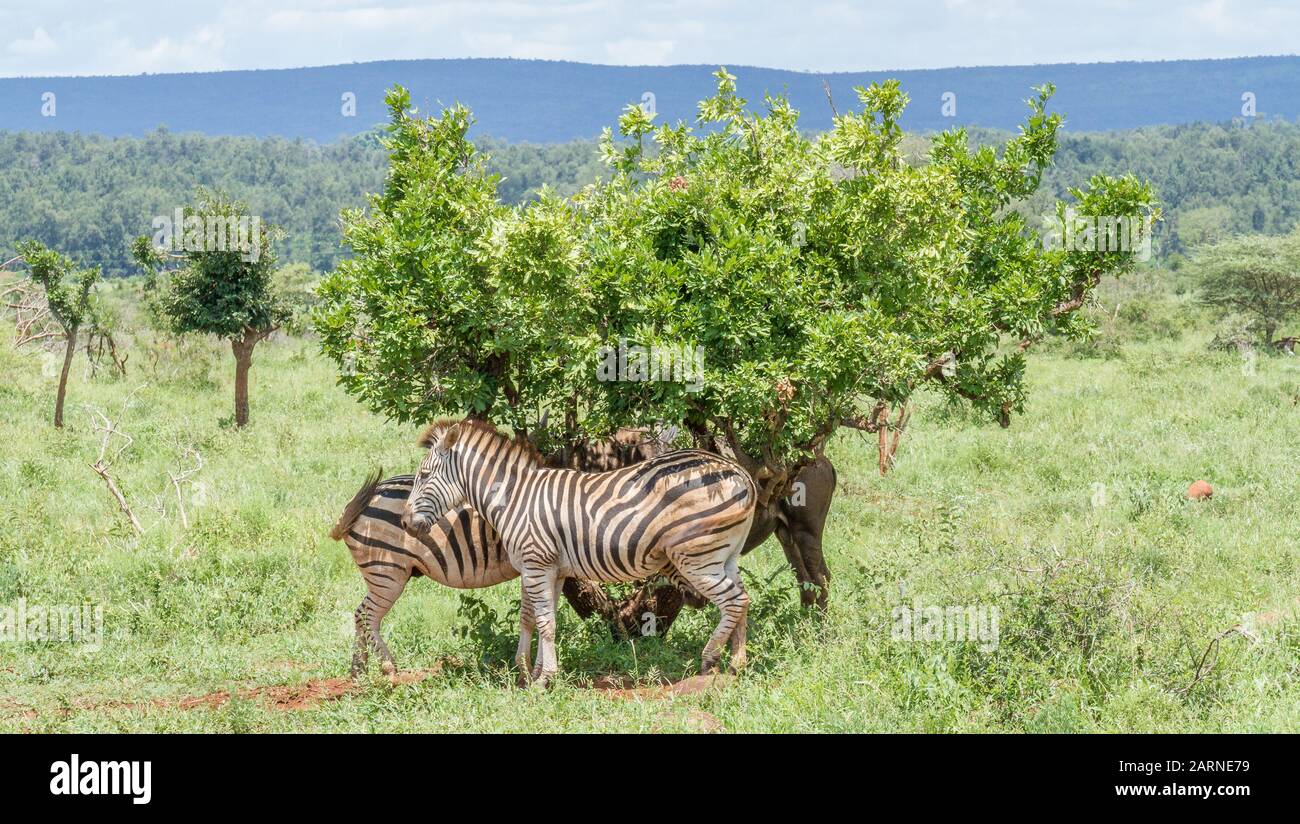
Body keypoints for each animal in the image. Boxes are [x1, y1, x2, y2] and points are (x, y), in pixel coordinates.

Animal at [330, 469, 518, 678]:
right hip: (387, 572)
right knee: (367, 615)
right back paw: (388, 668)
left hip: (380, 574)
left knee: (359, 613)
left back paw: (359, 671)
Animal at [402, 418, 758, 686]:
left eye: (423, 476)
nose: (404, 523)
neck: (514, 498)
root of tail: (739, 471)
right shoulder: (551, 569)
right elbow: (538, 617)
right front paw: (532, 672)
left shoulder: (536, 563)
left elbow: (545, 622)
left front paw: (544, 679)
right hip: (725, 555)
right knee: (743, 598)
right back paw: (736, 664)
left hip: (698, 556)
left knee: (733, 600)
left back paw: (711, 658)